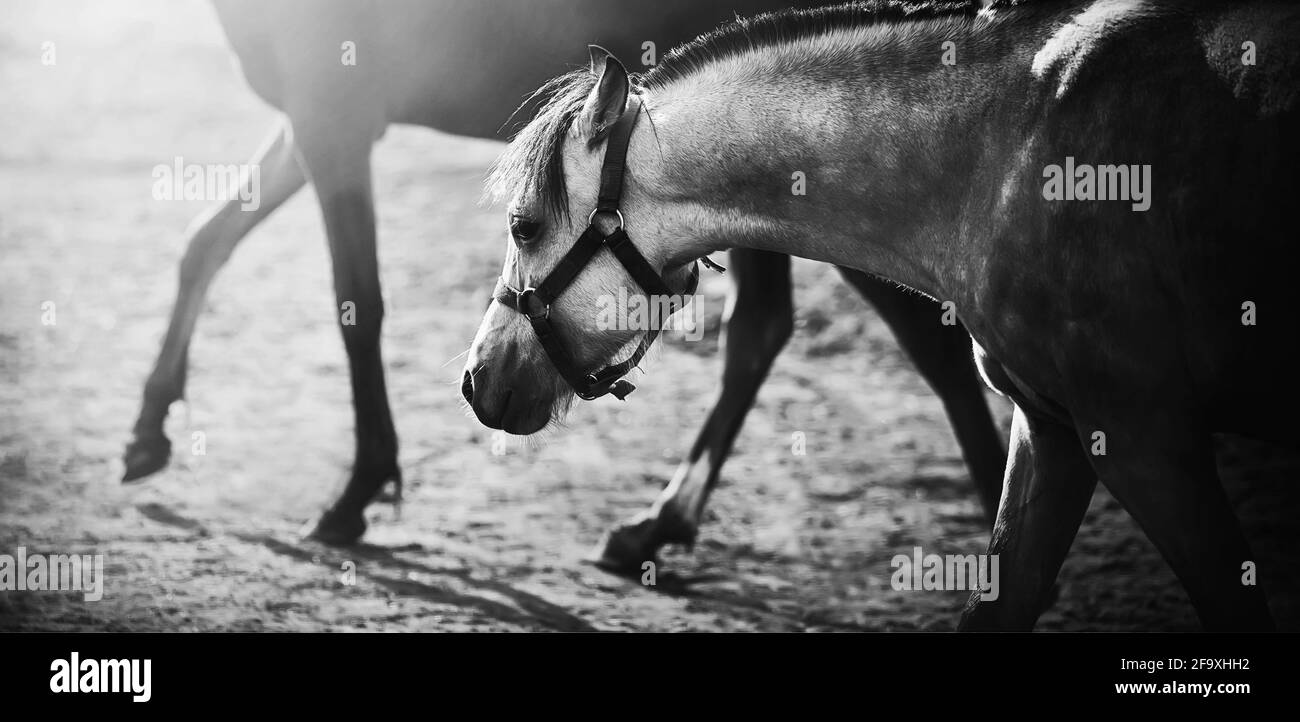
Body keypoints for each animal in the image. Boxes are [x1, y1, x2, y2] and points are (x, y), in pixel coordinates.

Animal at [123, 0, 1005, 553]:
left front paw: (359, 491)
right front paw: (149, 427)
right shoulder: (315, 121)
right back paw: (660, 525)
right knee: (763, 329)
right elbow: (204, 243)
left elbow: (357, 305)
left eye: (523, 227)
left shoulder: (331, 115)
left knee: (919, 340)